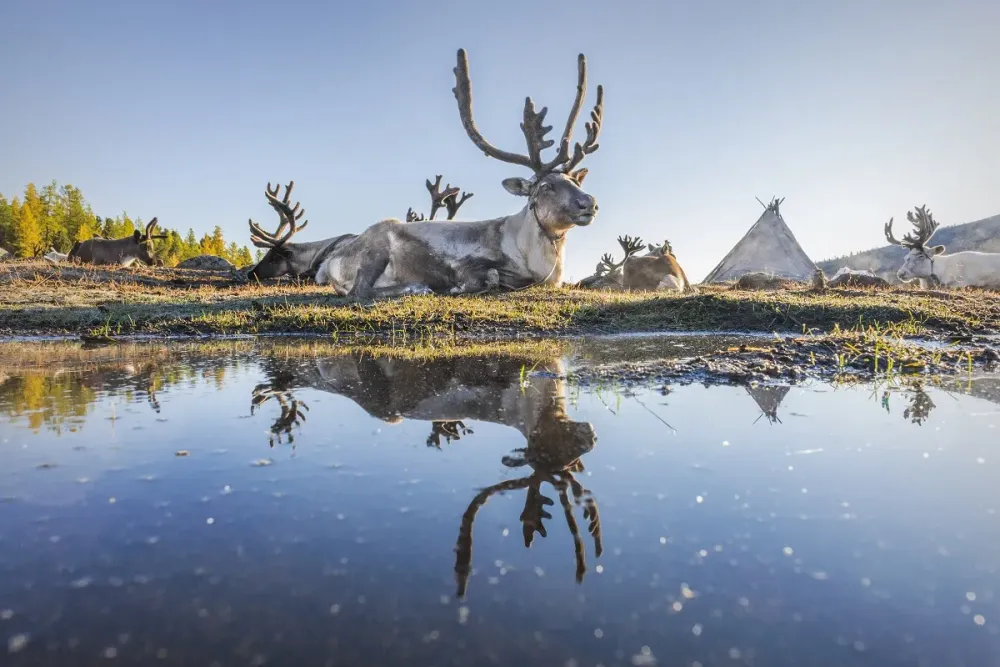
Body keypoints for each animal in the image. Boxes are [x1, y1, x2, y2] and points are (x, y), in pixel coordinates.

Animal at [312, 48, 605, 299]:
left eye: (574, 180)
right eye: (545, 186)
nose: (589, 202)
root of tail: (330, 263)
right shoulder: (467, 263)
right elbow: (490, 276)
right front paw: (456, 287)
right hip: (376, 246)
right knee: (360, 290)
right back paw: (417, 287)